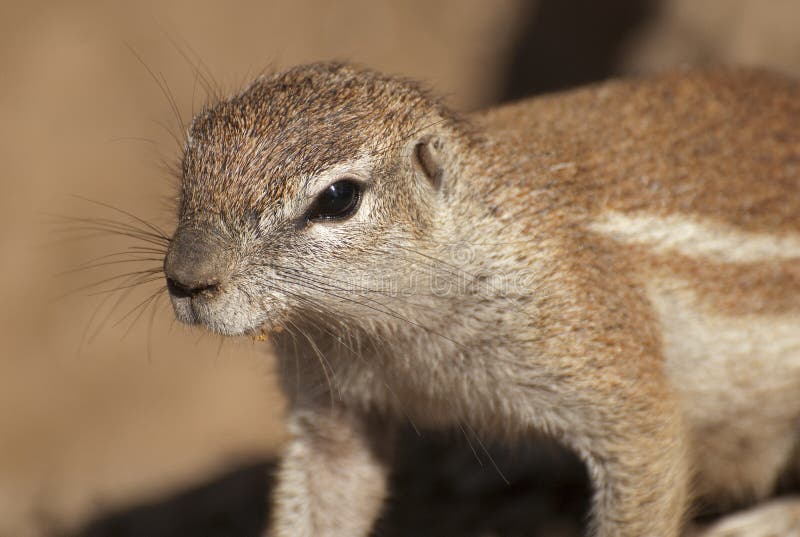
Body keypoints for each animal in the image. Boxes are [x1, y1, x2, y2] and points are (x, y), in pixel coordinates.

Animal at [162, 62, 800, 536]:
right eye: (188, 164)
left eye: (338, 198)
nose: (184, 279)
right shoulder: (331, 401)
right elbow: (330, 485)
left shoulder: (590, 337)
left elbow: (647, 445)